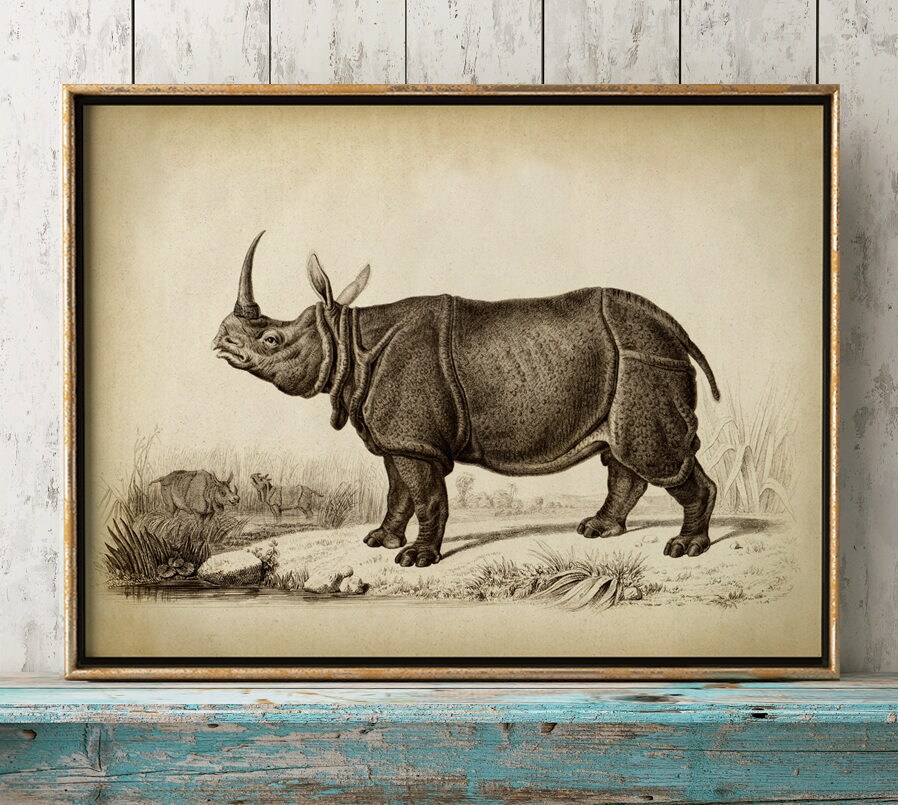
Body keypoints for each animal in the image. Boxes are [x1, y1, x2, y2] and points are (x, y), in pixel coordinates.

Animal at [214, 232, 720, 568]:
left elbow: (426, 496)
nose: (220, 339)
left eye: (272, 340)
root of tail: (672, 327)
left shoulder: (416, 440)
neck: (348, 342)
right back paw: (597, 531)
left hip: (643, 361)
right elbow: (398, 491)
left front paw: (416, 559)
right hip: (634, 362)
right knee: (623, 452)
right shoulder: (400, 438)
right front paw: (380, 541)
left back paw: (684, 550)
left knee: (652, 454)